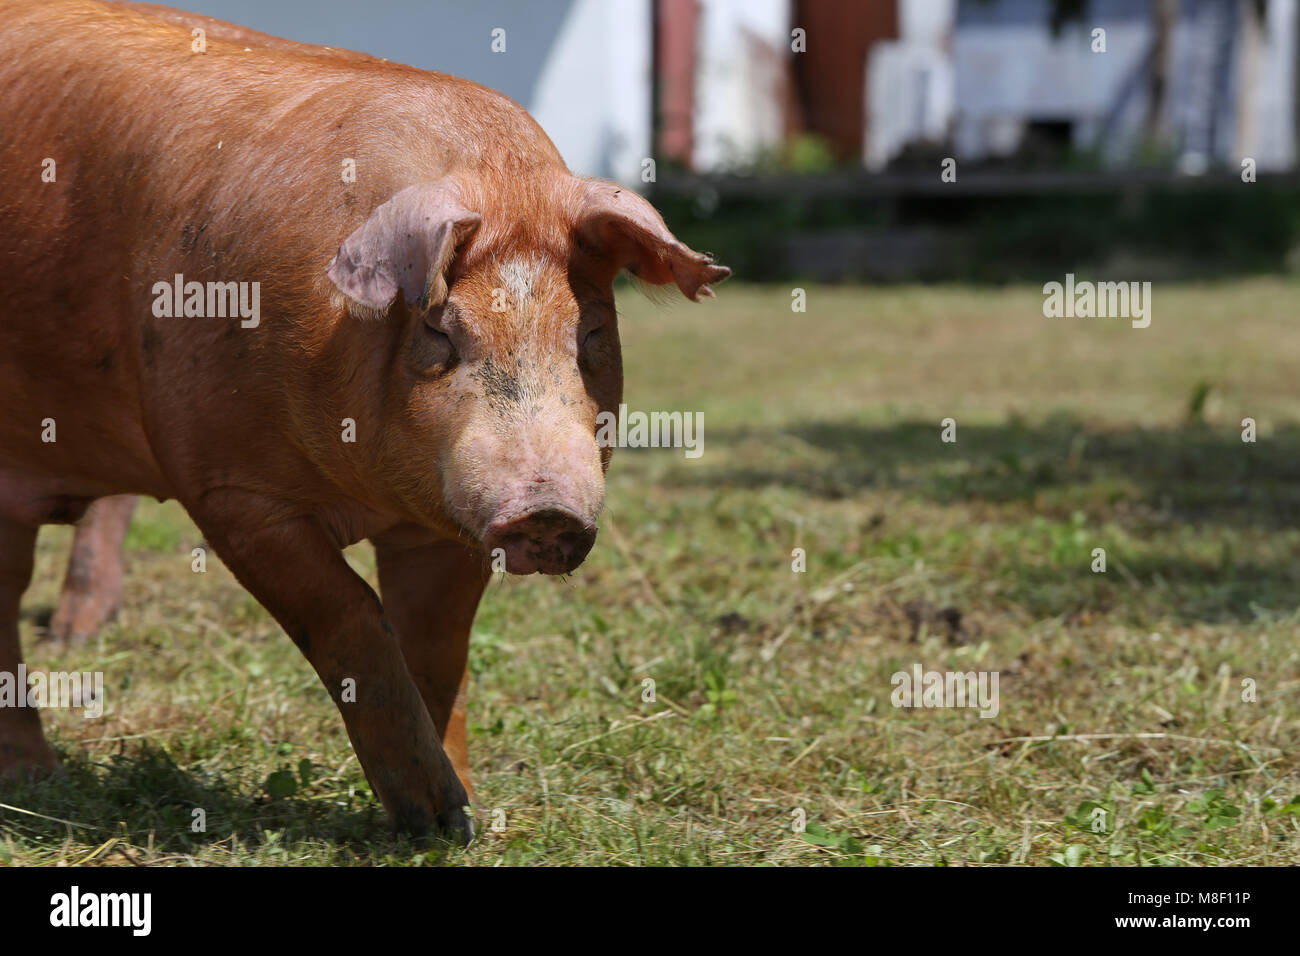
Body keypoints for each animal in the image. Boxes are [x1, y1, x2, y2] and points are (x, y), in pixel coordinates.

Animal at [0, 0, 728, 844]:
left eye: (591, 336)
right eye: (441, 332)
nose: (545, 509)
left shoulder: (446, 523)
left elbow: (439, 651)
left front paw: (462, 819)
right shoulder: (229, 487)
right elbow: (349, 615)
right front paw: (433, 814)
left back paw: (36, 770)